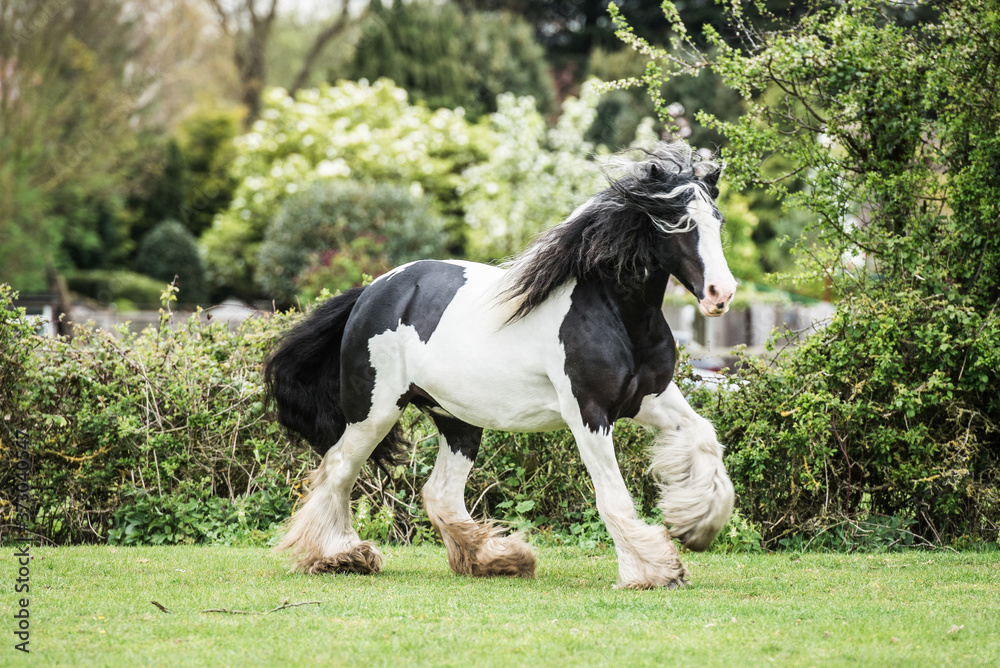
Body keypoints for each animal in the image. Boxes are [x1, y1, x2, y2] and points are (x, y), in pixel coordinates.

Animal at [263, 141, 737, 589]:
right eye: (677, 224)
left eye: (717, 221)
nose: (721, 293)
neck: (616, 314)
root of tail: (372, 290)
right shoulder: (588, 414)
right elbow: (612, 496)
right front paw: (654, 571)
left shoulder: (651, 398)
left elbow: (704, 437)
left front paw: (697, 526)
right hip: (374, 413)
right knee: (338, 470)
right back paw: (341, 556)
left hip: (456, 420)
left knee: (439, 492)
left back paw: (496, 559)